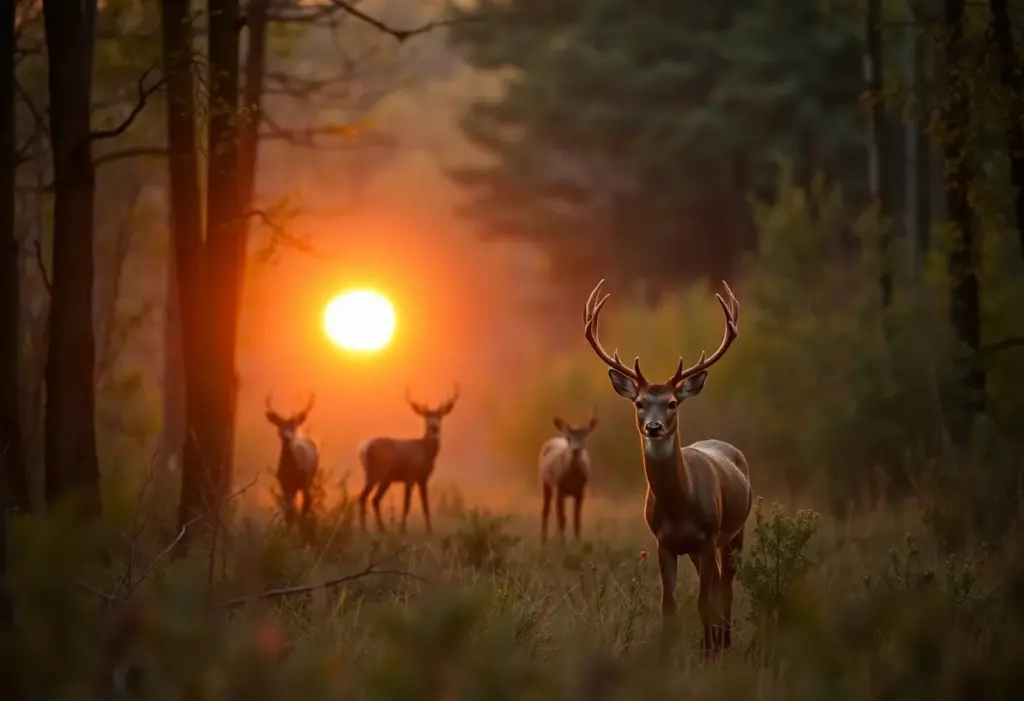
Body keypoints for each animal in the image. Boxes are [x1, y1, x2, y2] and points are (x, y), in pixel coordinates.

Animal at [264, 394, 320, 525]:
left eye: (293, 426)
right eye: (280, 425)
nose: (287, 436)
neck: (292, 469)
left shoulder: (305, 480)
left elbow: (304, 507)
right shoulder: (284, 483)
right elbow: (289, 512)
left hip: (310, 478)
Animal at [356, 385, 459, 535]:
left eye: (439, 416)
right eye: (426, 416)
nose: (433, 427)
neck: (424, 452)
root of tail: (364, 448)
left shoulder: (423, 478)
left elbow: (425, 505)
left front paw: (430, 531)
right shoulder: (410, 476)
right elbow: (407, 504)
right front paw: (402, 530)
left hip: (383, 478)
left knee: (373, 499)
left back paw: (381, 530)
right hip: (375, 473)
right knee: (364, 497)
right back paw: (365, 531)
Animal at [538, 410, 598, 543]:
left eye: (583, 436)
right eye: (568, 437)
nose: (575, 449)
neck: (572, 478)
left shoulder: (581, 491)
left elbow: (577, 521)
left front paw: (577, 542)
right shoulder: (559, 488)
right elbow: (561, 519)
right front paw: (562, 544)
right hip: (545, 481)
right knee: (546, 510)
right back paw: (543, 541)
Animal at [582, 279, 751, 658]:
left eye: (672, 403)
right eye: (640, 403)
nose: (654, 427)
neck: (680, 504)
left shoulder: (708, 535)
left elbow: (703, 601)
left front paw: (707, 656)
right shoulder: (664, 542)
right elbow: (668, 604)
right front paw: (669, 654)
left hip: (735, 532)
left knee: (726, 587)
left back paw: (725, 642)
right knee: (718, 585)